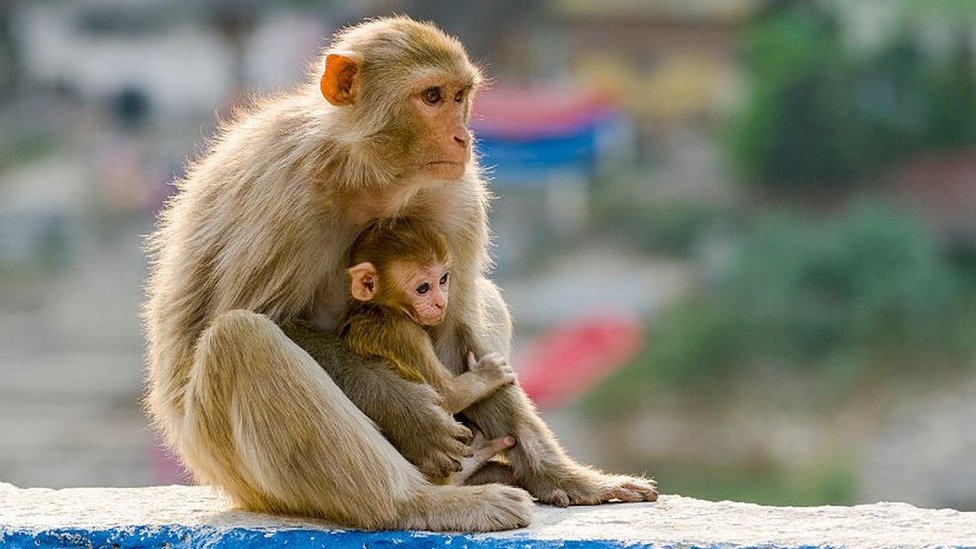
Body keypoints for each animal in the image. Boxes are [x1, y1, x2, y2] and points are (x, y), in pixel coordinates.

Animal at [144, 16, 655, 533]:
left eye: (458, 96)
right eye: (431, 96)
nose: (464, 138)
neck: (369, 175)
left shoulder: (456, 195)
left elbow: (459, 325)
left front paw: (564, 477)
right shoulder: (282, 196)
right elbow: (263, 317)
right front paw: (409, 412)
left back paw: (482, 474)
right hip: (225, 461)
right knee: (243, 339)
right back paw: (420, 502)